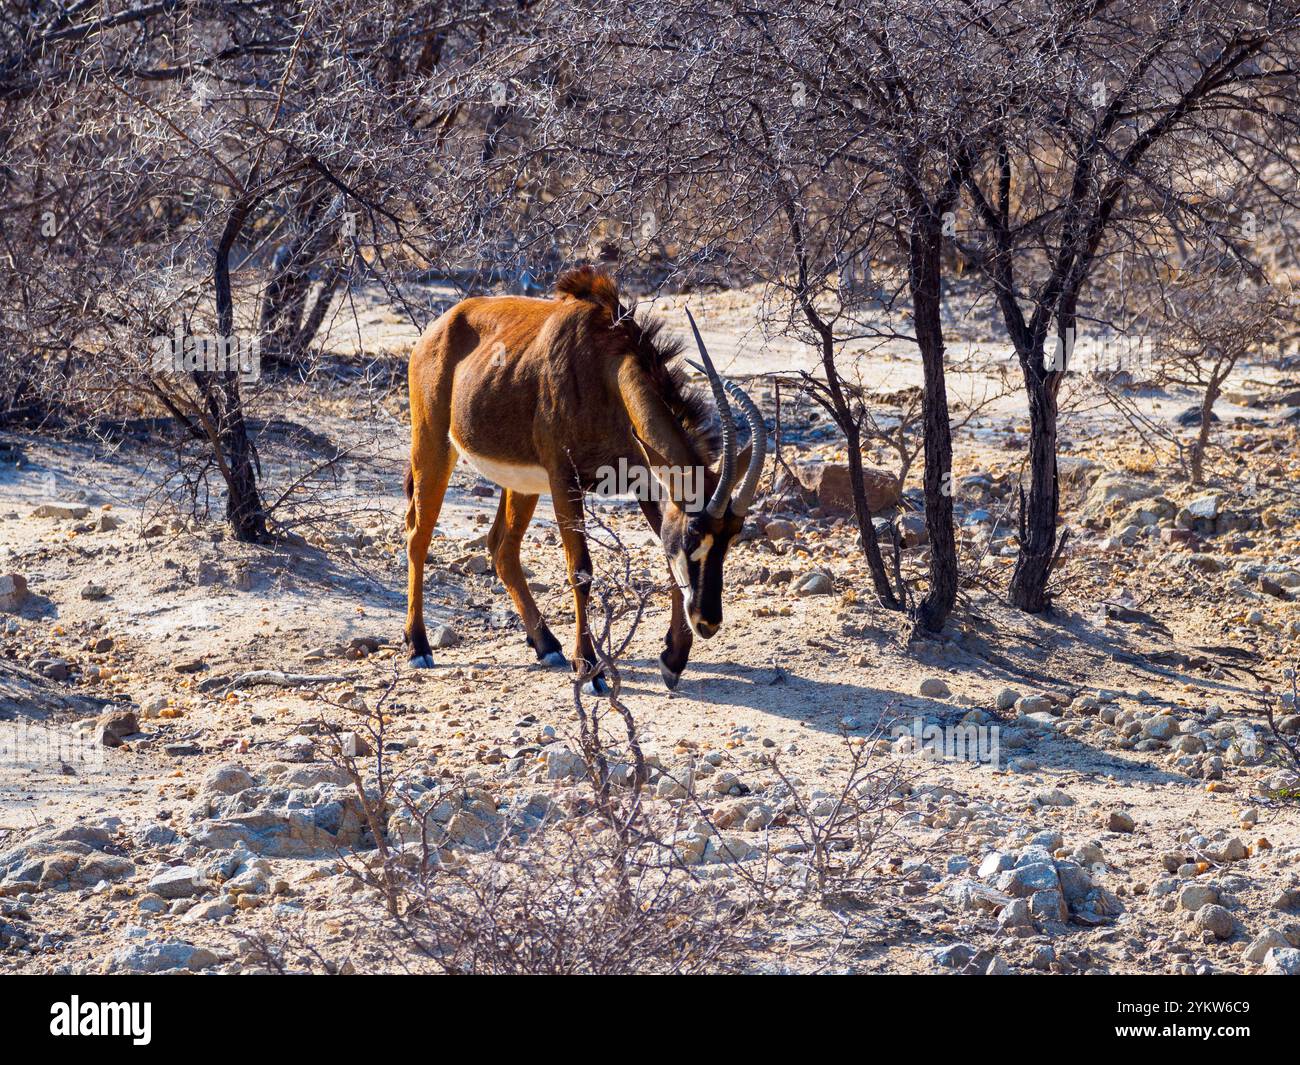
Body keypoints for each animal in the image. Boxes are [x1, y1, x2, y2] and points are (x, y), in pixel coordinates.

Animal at [403, 266, 767, 692]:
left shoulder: (644, 478)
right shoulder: (565, 481)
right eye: (694, 532)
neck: (605, 369)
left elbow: (665, 555)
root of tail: (437, 328)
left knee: (502, 547)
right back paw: (419, 646)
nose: (707, 622)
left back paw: (546, 644)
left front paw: (673, 659)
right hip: (433, 444)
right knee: (418, 536)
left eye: (734, 534)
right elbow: (581, 571)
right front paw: (590, 667)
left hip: (522, 481)